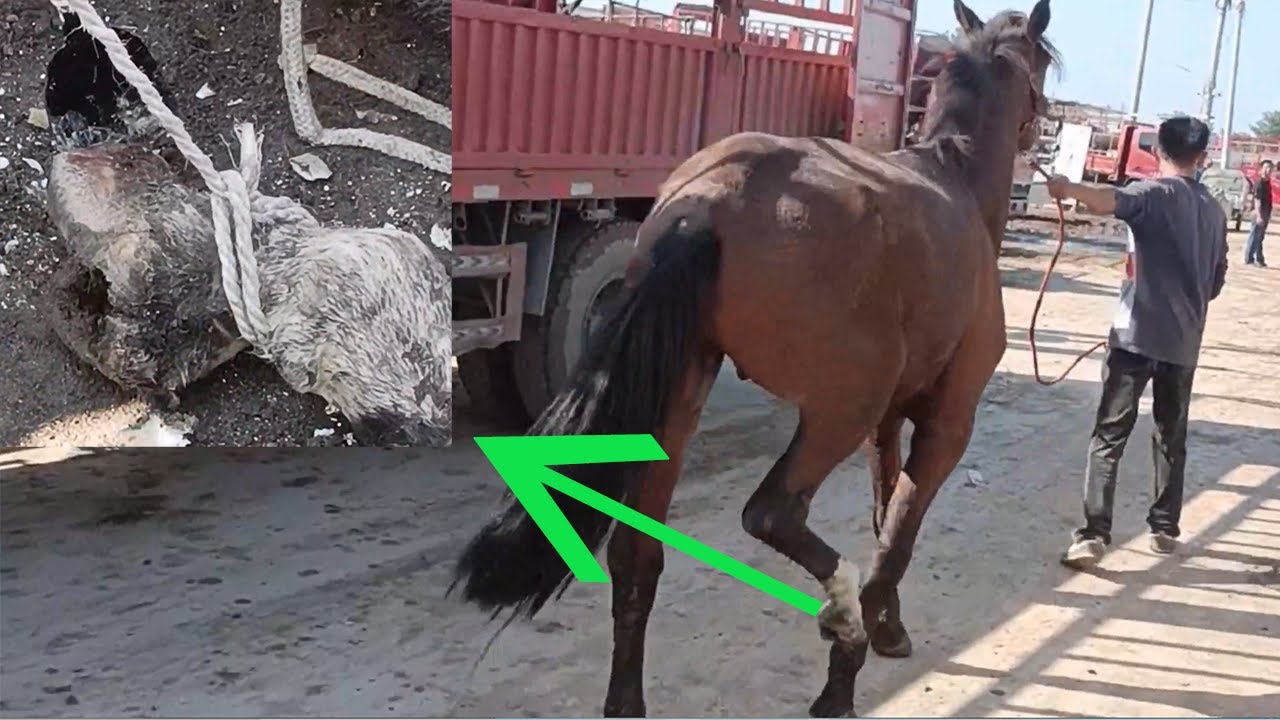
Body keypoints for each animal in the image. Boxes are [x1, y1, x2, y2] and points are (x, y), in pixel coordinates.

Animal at [452, 1, 1059, 715]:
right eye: (1041, 65)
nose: (1043, 132)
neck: (953, 179)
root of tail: (712, 199)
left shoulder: (886, 425)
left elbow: (885, 510)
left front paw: (888, 625)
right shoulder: (946, 424)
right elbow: (898, 536)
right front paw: (862, 648)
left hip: (679, 397)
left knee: (636, 554)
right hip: (838, 408)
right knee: (771, 513)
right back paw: (843, 630)